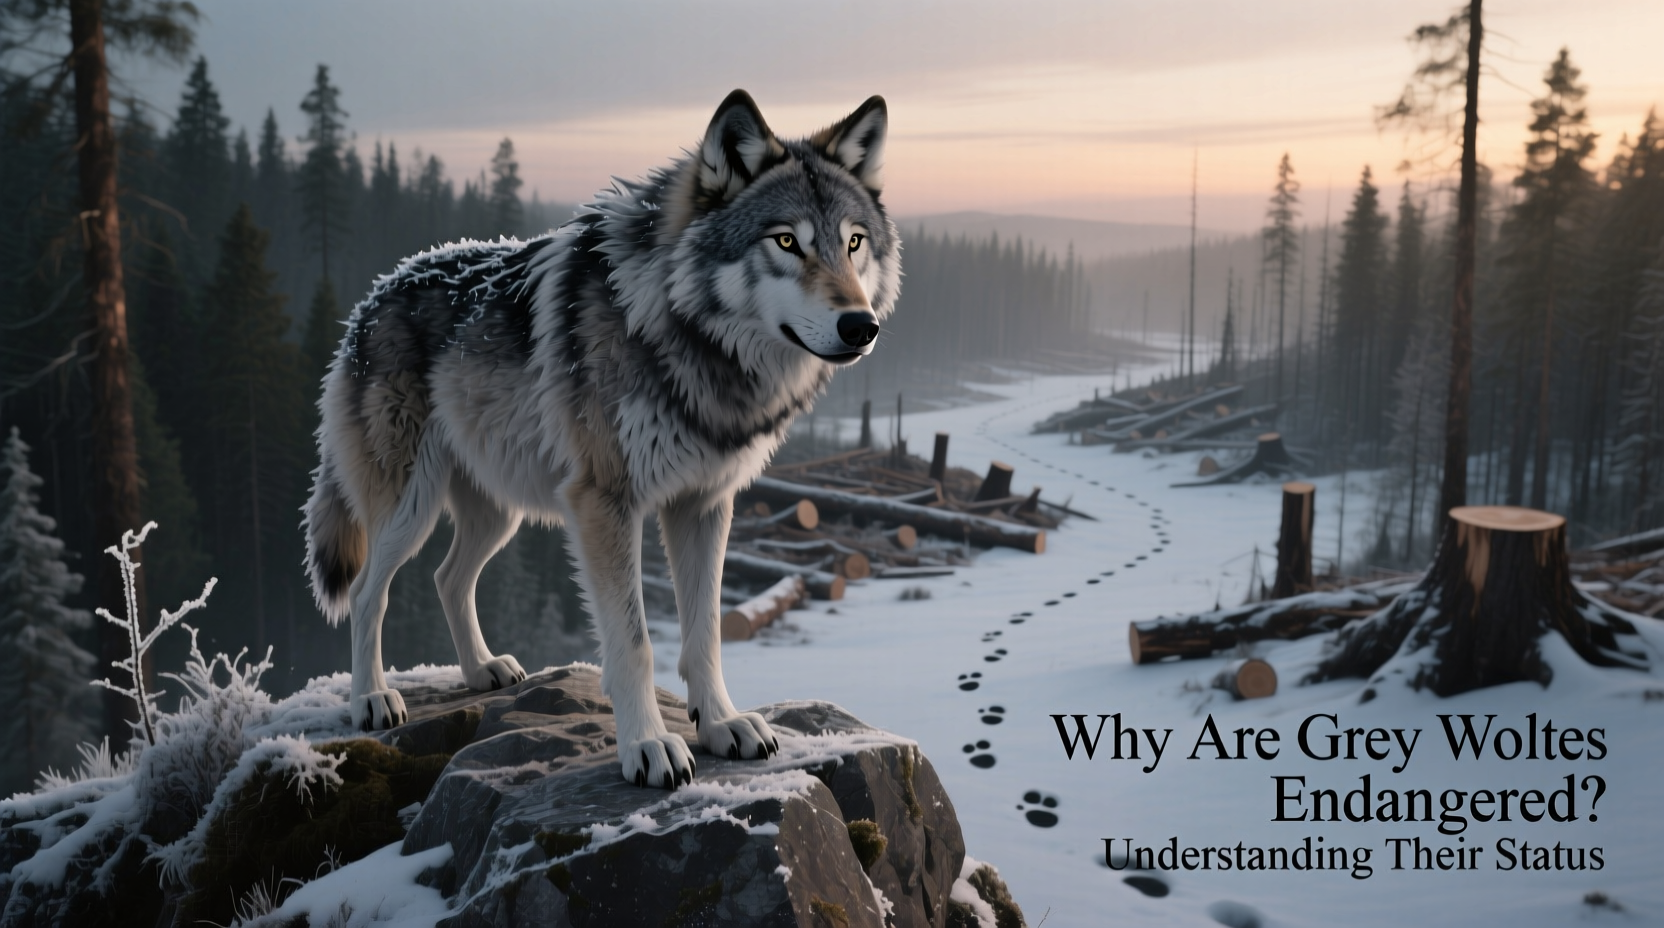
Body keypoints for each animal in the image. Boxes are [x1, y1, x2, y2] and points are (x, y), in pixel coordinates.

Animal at [302, 91, 897, 788]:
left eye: (853, 243)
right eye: (786, 242)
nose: (861, 326)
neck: (686, 338)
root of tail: (369, 300)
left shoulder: (704, 503)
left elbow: (706, 632)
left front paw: (722, 724)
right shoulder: (606, 503)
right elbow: (635, 642)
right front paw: (649, 747)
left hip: (499, 512)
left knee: (449, 578)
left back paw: (482, 670)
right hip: (410, 507)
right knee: (368, 592)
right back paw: (371, 698)